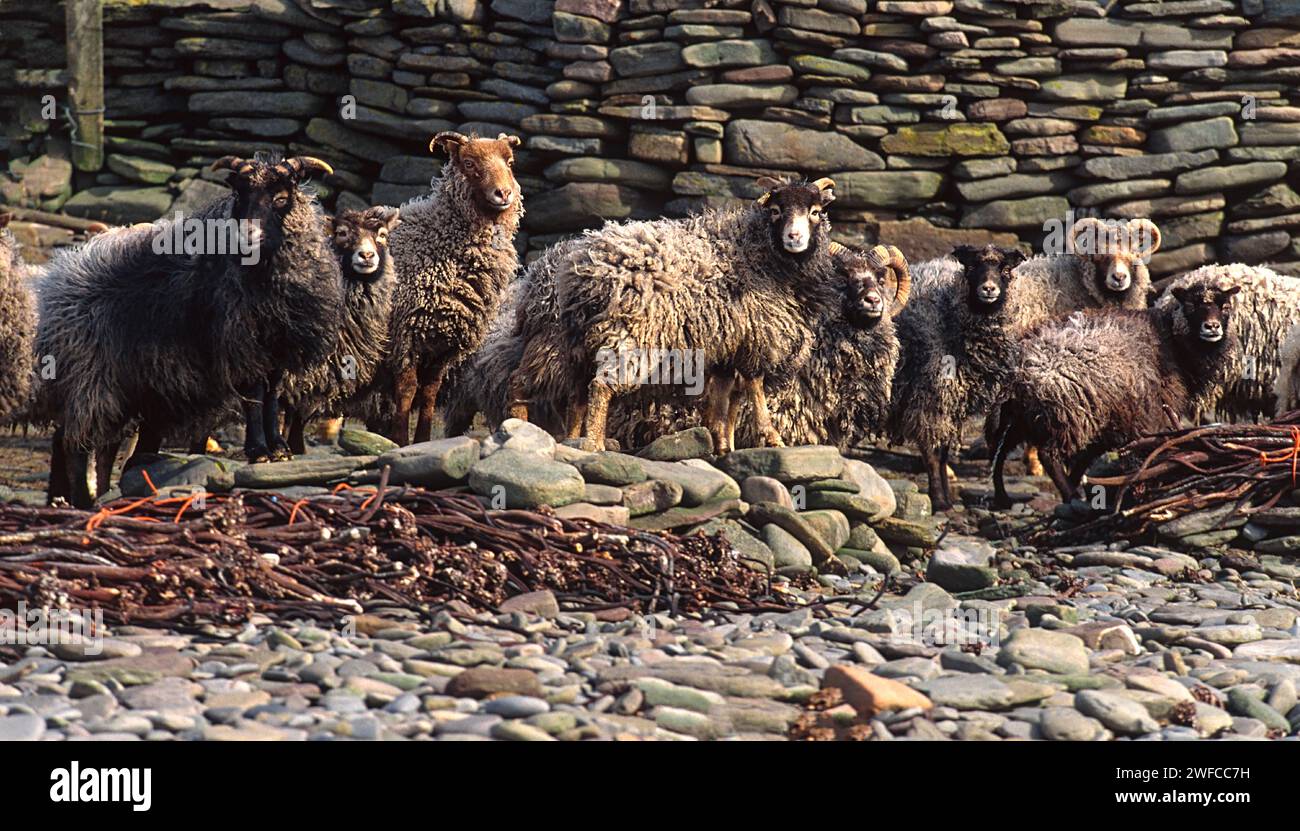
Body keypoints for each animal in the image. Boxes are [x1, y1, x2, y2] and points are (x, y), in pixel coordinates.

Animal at [34, 154, 343, 507]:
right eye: (240, 195)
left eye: (281, 198)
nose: (246, 237)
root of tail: (57, 275)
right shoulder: (241, 346)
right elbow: (254, 397)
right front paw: (259, 450)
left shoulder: (278, 348)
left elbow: (273, 396)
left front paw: (279, 448)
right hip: (91, 375)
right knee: (75, 443)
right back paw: (83, 500)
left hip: (124, 384)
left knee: (88, 442)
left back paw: (83, 496)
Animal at [386, 131, 523, 446]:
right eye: (469, 163)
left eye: (510, 162)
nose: (503, 194)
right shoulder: (405, 332)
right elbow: (407, 391)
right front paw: (400, 441)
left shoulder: (446, 342)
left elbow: (429, 391)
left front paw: (423, 440)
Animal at [549, 176, 840, 453]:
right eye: (776, 211)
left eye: (815, 212)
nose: (794, 237)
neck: (759, 249)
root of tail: (586, 268)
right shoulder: (758, 335)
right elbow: (754, 388)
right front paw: (770, 437)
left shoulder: (729, 344)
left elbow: (726, 398)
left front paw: (723, 442)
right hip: (630, 333)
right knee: (601, 385)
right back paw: (594, 443)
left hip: (579, 343)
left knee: (577, 394)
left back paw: (573, 439)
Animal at [887, 244, 1028, 512]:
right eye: (971, 267)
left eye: (1005, 270)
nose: (989, 289)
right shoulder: (929, 398)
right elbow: (932, 454)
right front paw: (939, 501)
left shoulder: (952, 404)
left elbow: (943, 453)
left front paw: (947, 498)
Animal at [991, 282, 1242, 505]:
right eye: (1190, 306)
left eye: (1225, 307)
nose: (1212, 327)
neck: (1174, 343)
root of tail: (1020, 363)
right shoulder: (1148, 415)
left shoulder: (1114, 417)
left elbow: (1088, 456)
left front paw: (1078, 480)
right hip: (1066, 413)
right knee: (1047, 454)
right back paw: (1071, 497)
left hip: (1025, 416)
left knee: (1000, 453)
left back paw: (1003, 497)